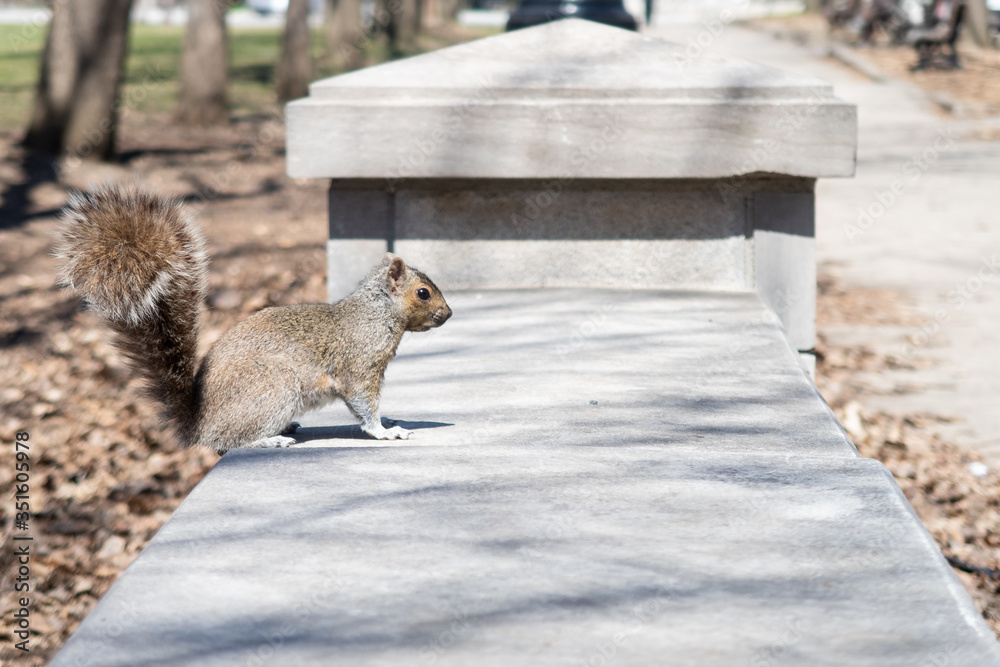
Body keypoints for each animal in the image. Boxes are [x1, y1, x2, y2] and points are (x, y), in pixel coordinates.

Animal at [55, 184, 452, 453]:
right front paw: (386, 431)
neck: (376, 313)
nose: (448, 314)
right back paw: (270, 440)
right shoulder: (359, 366)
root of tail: (197, 425)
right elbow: (363, 405)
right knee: (228, 439)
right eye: (423, 293)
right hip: (273, 389)